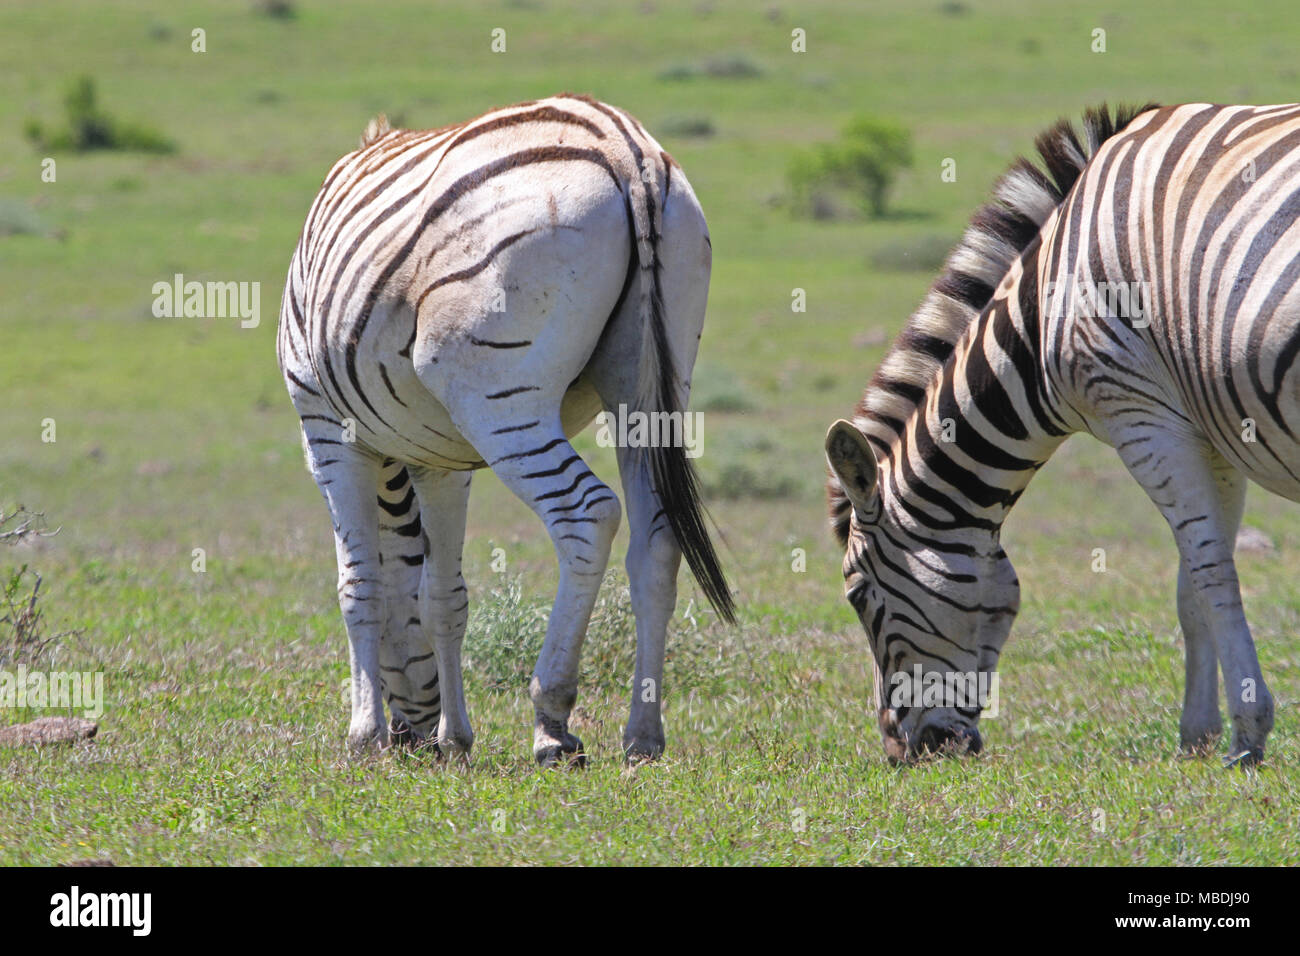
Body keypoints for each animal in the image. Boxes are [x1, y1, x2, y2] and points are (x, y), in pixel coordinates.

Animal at [277, 94, 734, 766]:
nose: (411, 739)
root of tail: (626, 147)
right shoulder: (439, 460)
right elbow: (442, 596)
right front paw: (455, 738)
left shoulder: (326, 432)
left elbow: (360, 584)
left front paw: (363, 736)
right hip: (648, 385)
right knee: (657, 540)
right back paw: (642, 734)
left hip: (499, 397)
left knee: (587, 514)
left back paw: (552, 720)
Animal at [825, 103, 1300, 765]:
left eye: (859, 597)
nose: (902, 754)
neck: (1044, 306)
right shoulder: (1210, 433)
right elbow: (1192, 585)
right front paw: (1197, 735)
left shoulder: (1139, 413)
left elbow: (1212, 575)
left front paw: (1248, 735)